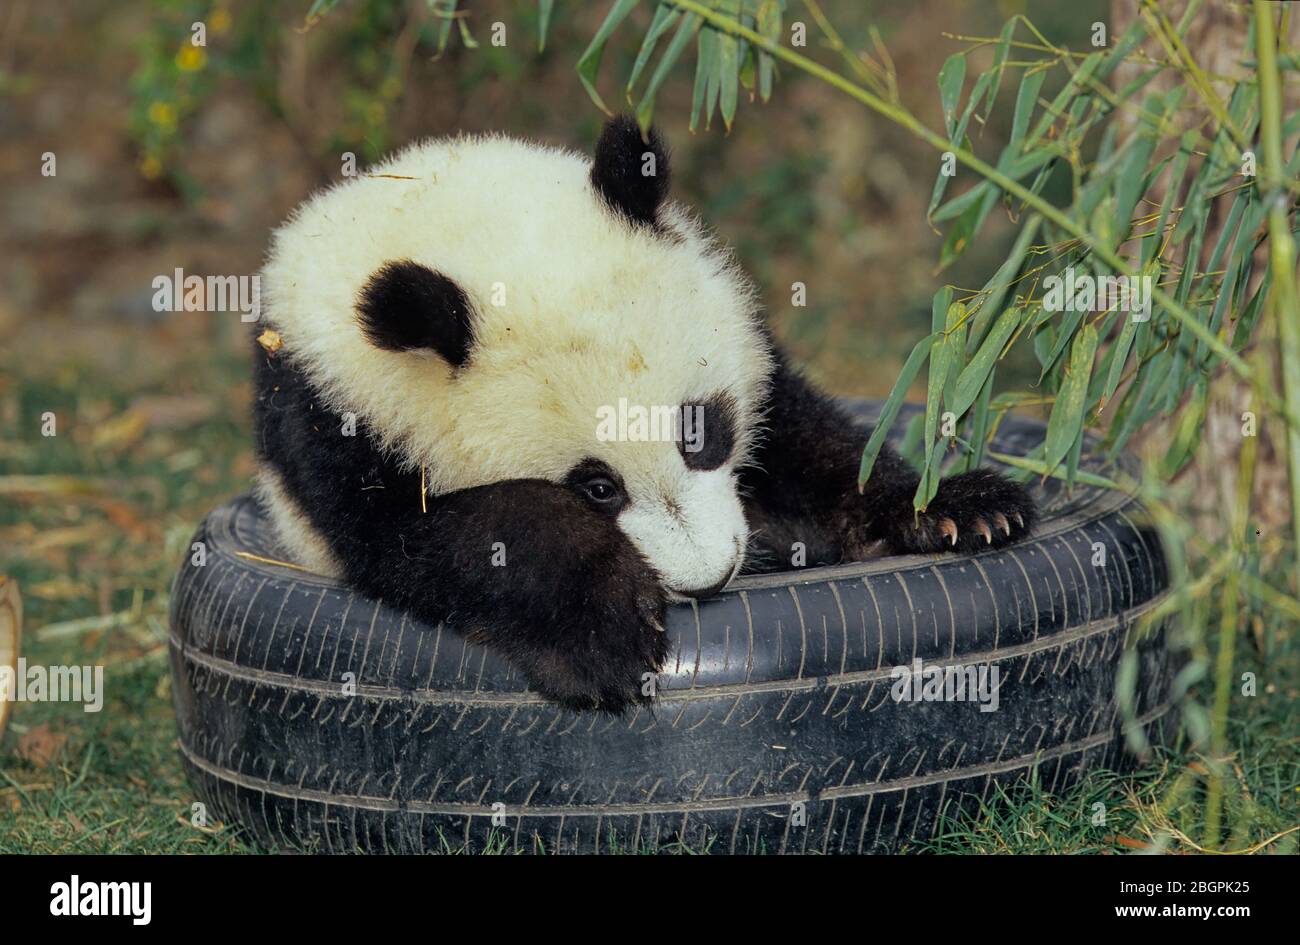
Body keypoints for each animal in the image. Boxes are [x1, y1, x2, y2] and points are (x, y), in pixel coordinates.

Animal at [252, 116, 1035, 712]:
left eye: (697, 431)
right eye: (598, 487)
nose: (709, 576)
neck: (432, 204)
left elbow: (808, 438)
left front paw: (961, 508)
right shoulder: (341, 425)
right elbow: (454, 534)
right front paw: (605, 636)